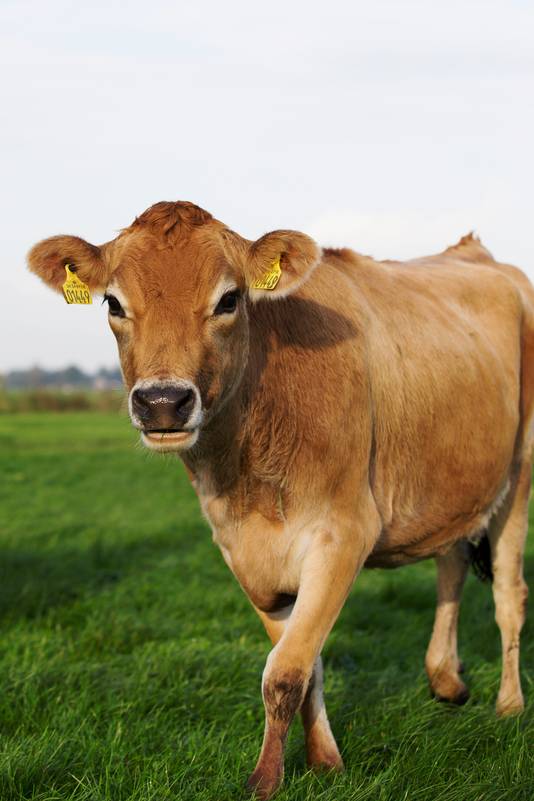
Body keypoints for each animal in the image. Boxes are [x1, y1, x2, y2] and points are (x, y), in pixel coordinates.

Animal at [28, 201, 534, 799]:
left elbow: (286, 669)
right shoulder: (245, 556)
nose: (163, 402)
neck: (249, 477)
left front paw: (266, 779)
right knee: (451, 560)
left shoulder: (344, 534)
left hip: (519, 473)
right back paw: (446, 680)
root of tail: (474, 251)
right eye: (113, 302)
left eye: (228, 299)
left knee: (508, 594)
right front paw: (324, 761)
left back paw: (509, 706)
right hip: (452, 481)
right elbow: (304, 662)